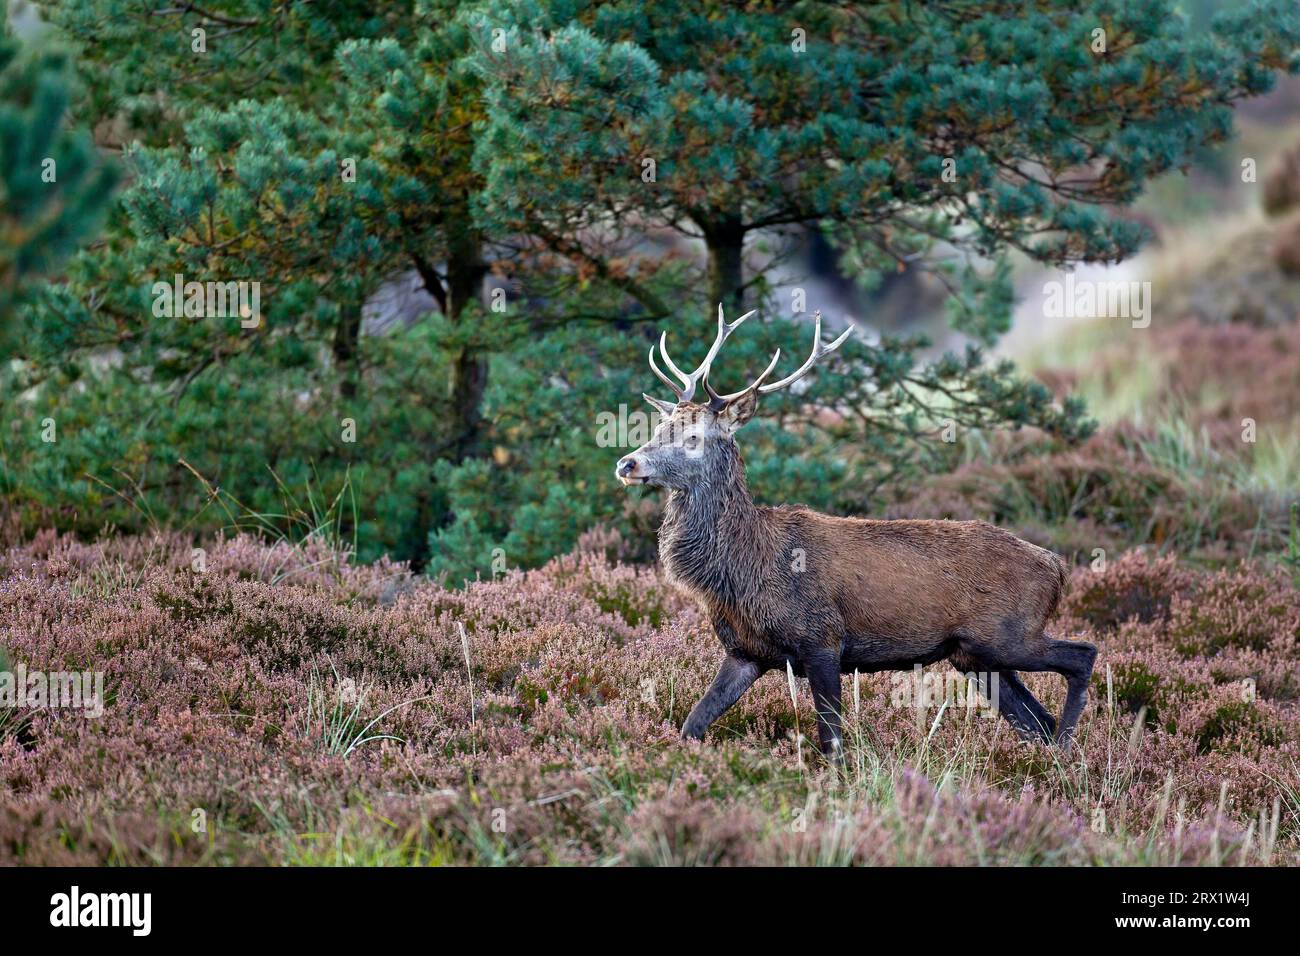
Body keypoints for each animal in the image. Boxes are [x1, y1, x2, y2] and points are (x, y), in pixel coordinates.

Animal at [614, 306, 1096, 761]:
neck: (744, 567)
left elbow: (833, 742)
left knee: (1082, 656)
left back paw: (1069, 753)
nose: (627, 463)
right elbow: (692, 724)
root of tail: (1056, 567)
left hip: (1010, 633)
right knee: (1035, 719)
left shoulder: (822, 638)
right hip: (975, 655)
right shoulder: (745, 652)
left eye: (694, 436)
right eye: (659, 429)